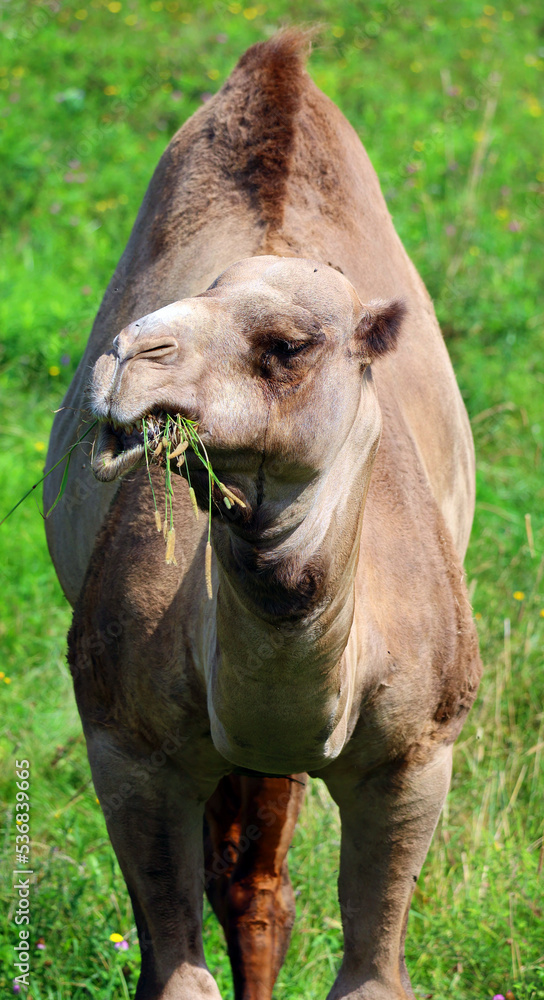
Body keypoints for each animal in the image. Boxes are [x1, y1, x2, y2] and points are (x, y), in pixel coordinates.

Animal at [44, 32, 481, 1000]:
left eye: (286, 346)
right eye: (186, 300)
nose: (125, 358)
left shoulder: (416, 756)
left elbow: (371, 975)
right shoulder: (126, 745)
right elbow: (177, 969)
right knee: (242, 873)